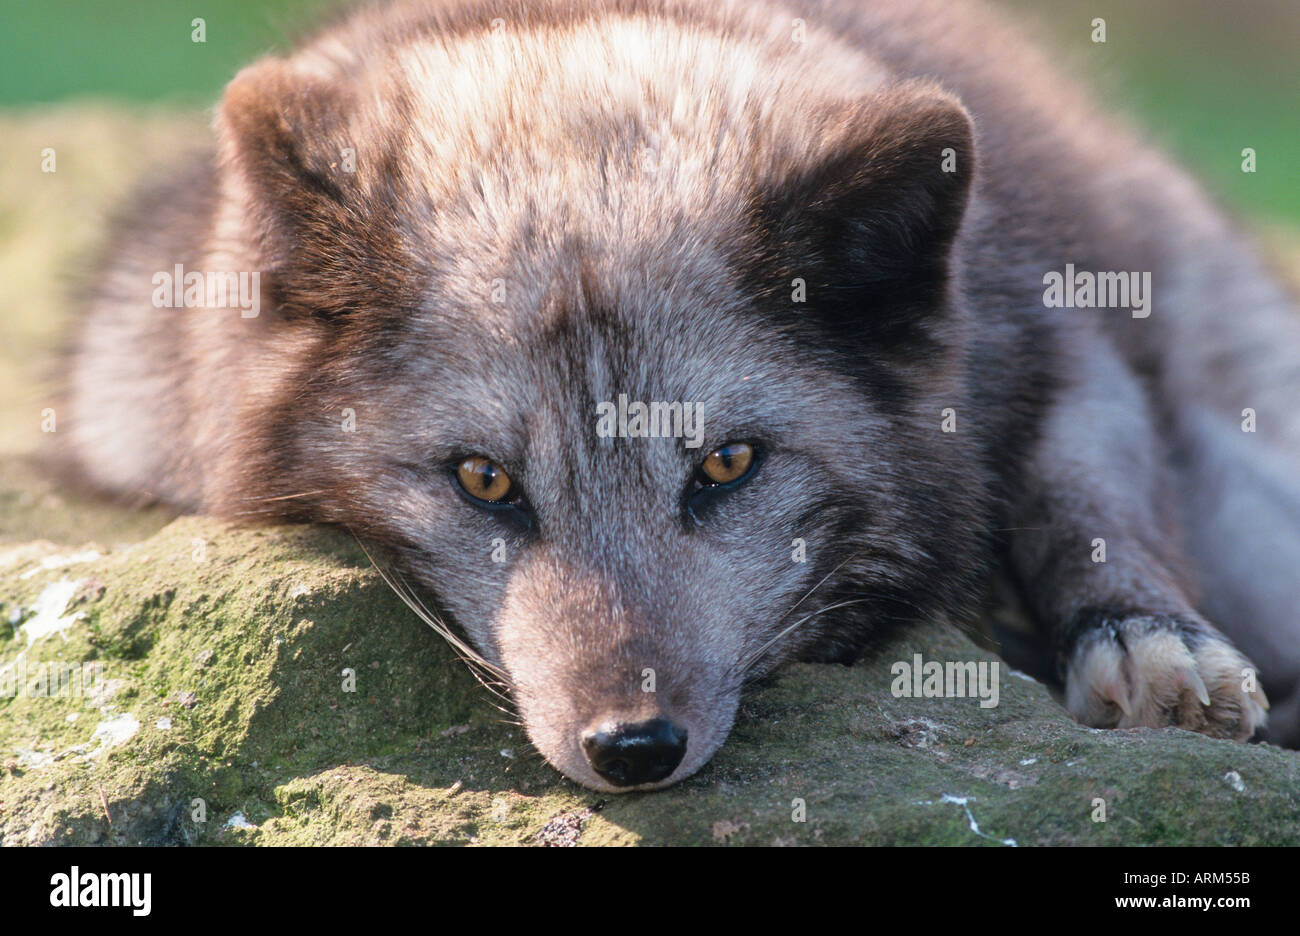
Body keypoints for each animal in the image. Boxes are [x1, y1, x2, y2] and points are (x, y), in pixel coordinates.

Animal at [59, 0, 1300, 791]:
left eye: (725, 466)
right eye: (483, 480)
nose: (634, 747)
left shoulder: (1047, 319)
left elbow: (1086, 488)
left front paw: (1147, 636)